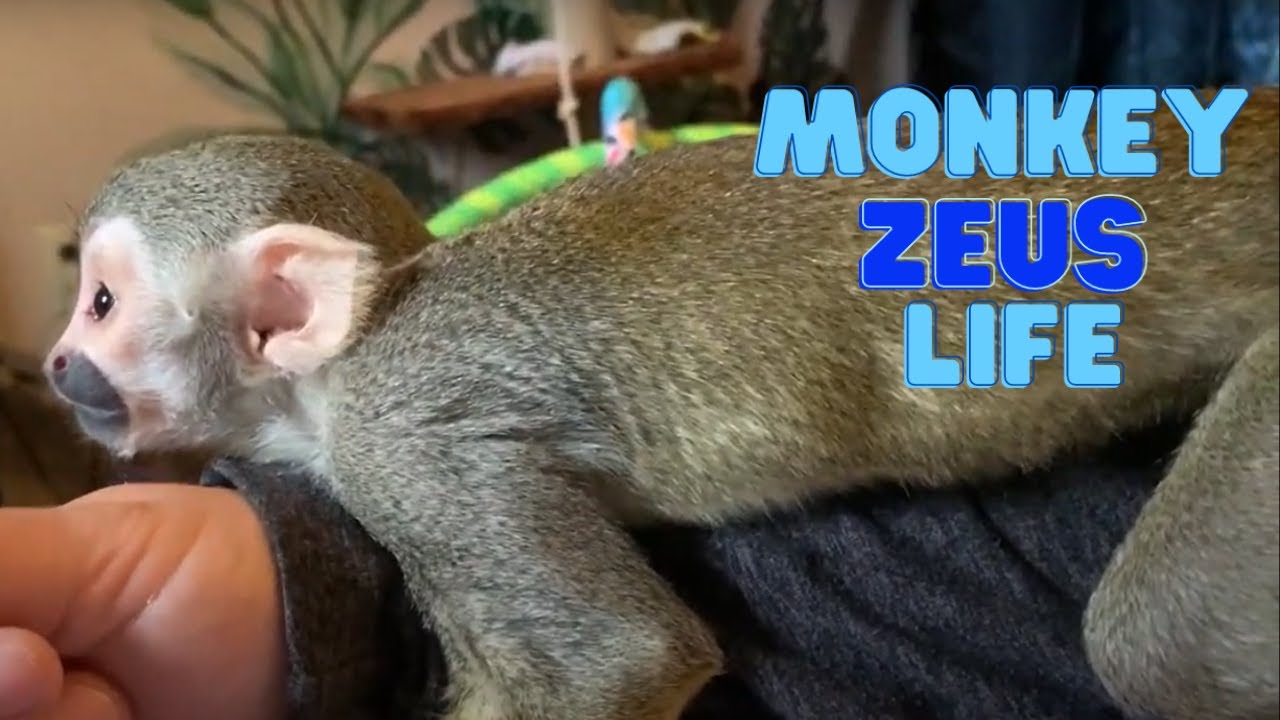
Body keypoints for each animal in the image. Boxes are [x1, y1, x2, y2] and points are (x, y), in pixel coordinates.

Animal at [41, 87, 1278, 720]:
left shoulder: (403, 434)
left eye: (100, 302)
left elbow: (619, 661)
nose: (54, 364)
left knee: (1153, 644)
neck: (364, 340)